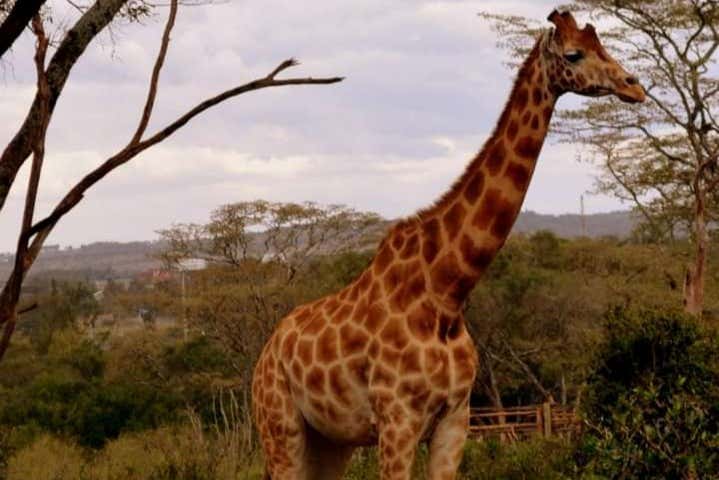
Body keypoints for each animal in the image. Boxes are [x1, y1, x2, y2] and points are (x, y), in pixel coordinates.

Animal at [252, 10, 645, 480]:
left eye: (602, 44)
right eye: (574, 54)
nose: (634, 86)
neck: (447, 291)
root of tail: (266, 352)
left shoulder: (456, 418)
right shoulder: (398, 419)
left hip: (331, 440)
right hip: (280, 426)